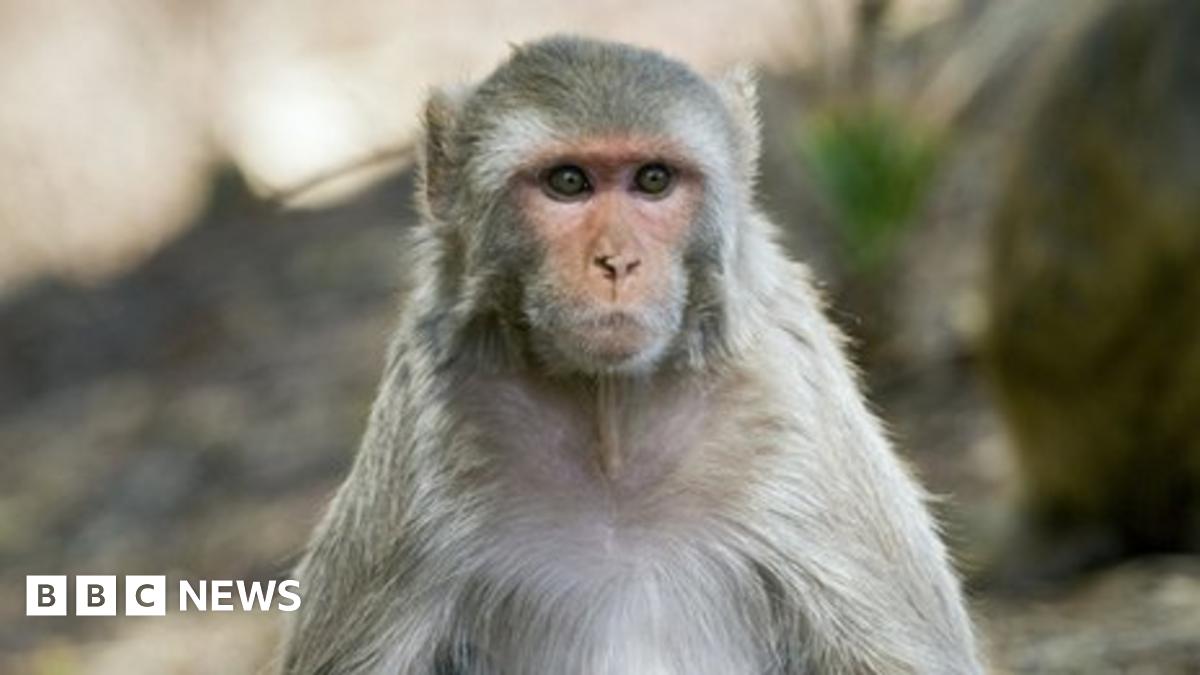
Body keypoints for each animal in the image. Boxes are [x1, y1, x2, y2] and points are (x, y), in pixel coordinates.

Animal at [278, 36, 982, 675]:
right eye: (568, 182)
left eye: (653, 180)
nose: (617, 262)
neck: (610, 409)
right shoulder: (428, 413)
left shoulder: (790, 393)